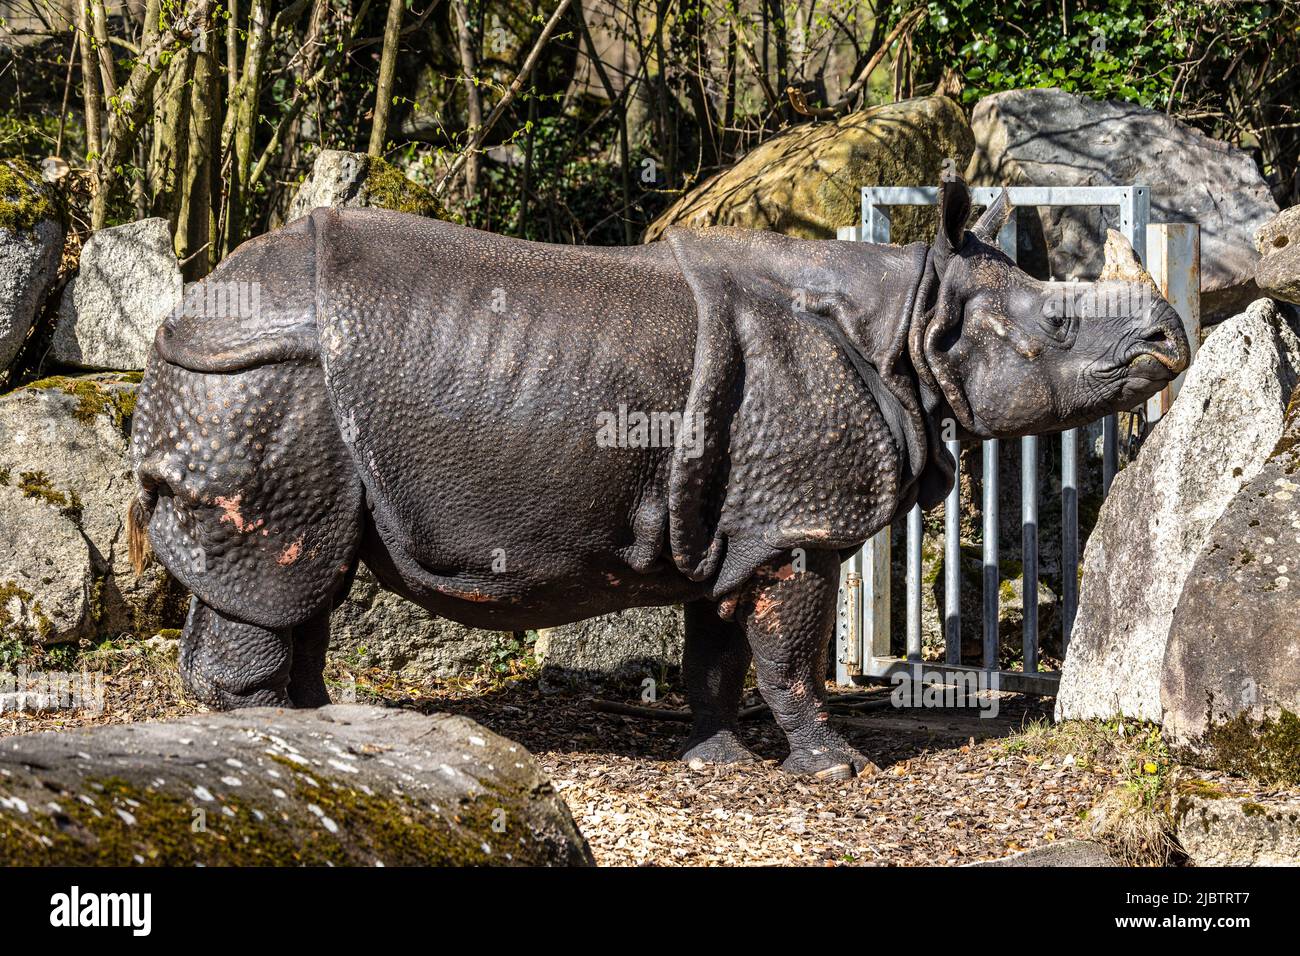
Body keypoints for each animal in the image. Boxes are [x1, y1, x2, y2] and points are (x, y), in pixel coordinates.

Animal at [129, 179, 1189, 780]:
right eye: (1060, 327)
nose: (1170, 341)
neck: (912, 322)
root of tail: (185, 312)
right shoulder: (795, 528)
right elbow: (787, 658)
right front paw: (833, 771)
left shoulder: (742, 521)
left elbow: (718, 649)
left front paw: (717, 761)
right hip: (268, 376)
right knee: (282, 569)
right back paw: (277, 744)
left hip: (269, 376)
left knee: (307, 578)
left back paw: (325, 734)